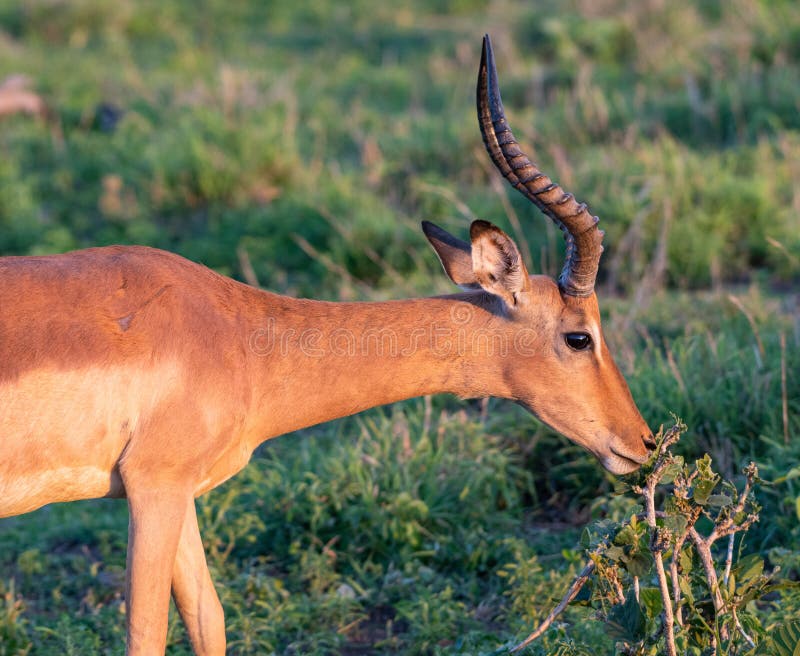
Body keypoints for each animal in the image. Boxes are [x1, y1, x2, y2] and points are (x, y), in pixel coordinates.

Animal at [0, 36, 653, 654]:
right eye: (579, 336)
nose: (643, 444)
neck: (240, 339)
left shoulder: (176, 494)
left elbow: (209, 622)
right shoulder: (153, 487)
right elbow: (146, 634)